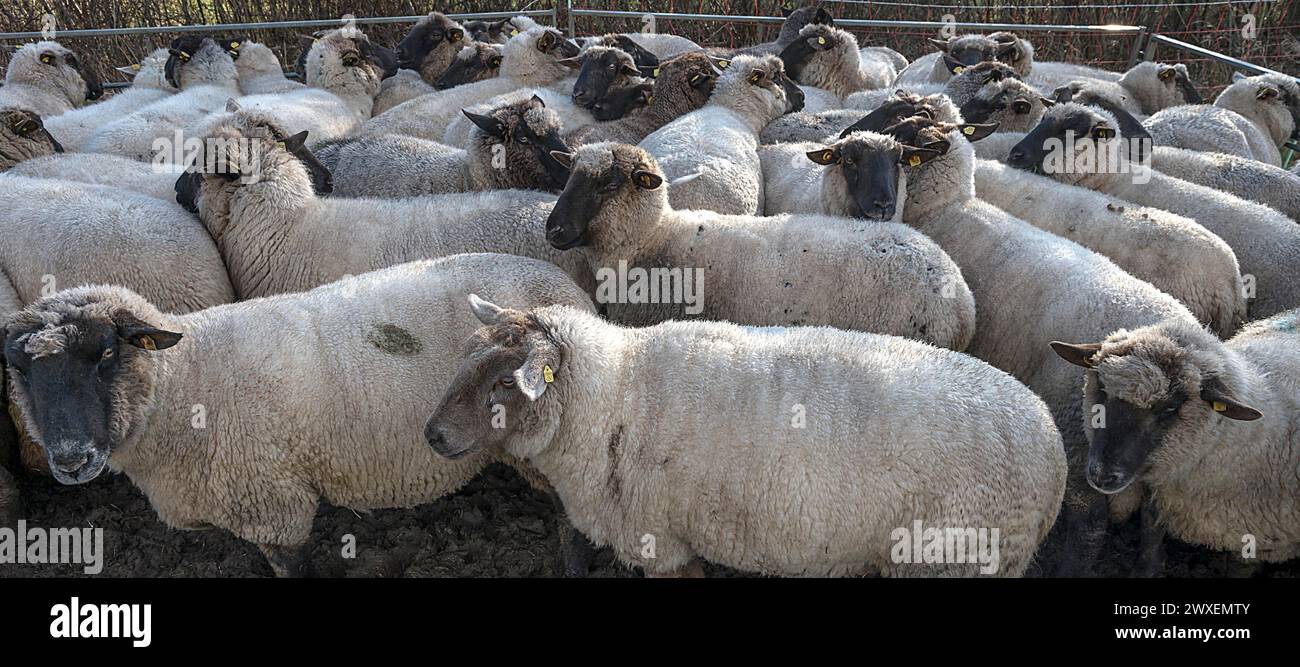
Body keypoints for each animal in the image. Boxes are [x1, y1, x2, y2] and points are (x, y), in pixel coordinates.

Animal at [2, 253, 595, 576]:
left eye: (105, 354)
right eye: (19, 370)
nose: (70, 460)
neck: (182, 381)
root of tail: (566, 289)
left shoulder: (275, 505)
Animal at [425, 295, 1066, 577]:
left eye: (505, 381)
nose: (432, 434)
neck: (612, 402)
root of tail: (1053, 447)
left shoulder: (659, 539)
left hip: (953, 557)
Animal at [1050, 309, 1300, 573]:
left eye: (1170, 408)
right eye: (1102, 390)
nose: (1102, 475)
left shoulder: (1259, 545)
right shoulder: (1158, 501)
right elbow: (1150, 542)